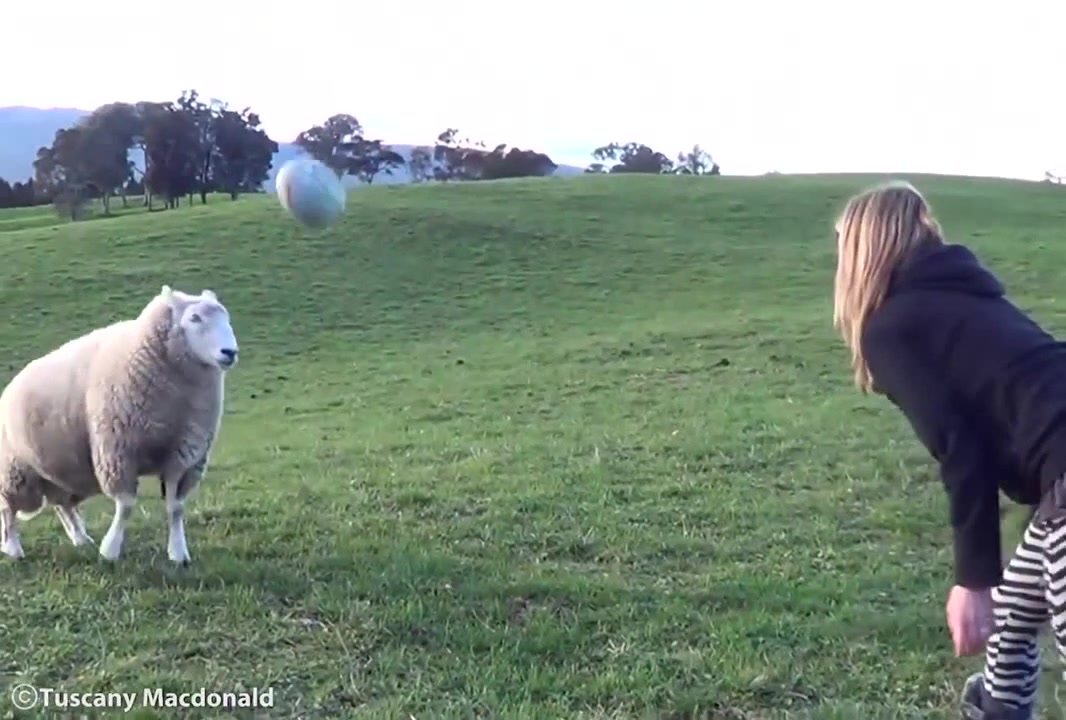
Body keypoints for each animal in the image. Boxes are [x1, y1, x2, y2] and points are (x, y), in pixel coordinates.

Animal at [0, 285, 239, 564]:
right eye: (194, 318)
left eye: (227, 318)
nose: (230, 352)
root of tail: (10, 386)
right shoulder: (119, 451)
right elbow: (125, 506)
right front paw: (111, 550)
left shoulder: (183, 456)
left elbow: (176, 508)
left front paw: (178, 553)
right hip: (14, 469)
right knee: (8, 508)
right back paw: (13, 547)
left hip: (66, 470)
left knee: (63, 504)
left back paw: (80, 538)